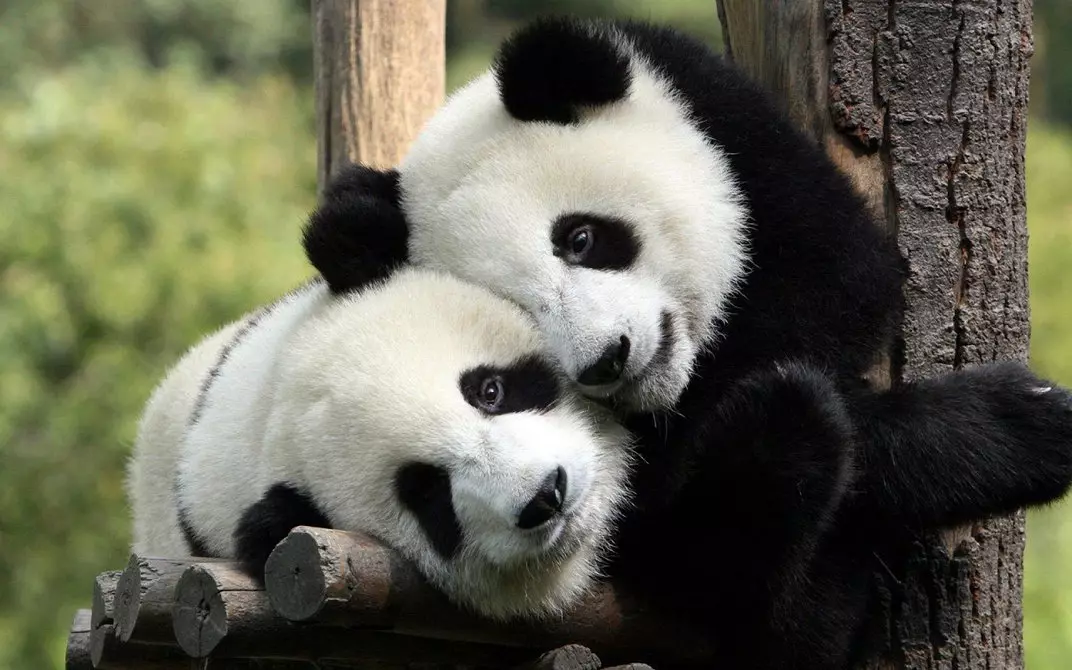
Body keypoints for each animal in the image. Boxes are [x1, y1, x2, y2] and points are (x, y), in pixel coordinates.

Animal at [298, 15, 1072, 668]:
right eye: (521, 312)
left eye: (581, 238)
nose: (607, 359)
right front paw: (1017, 424)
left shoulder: (733, 133)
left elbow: (843, 283)